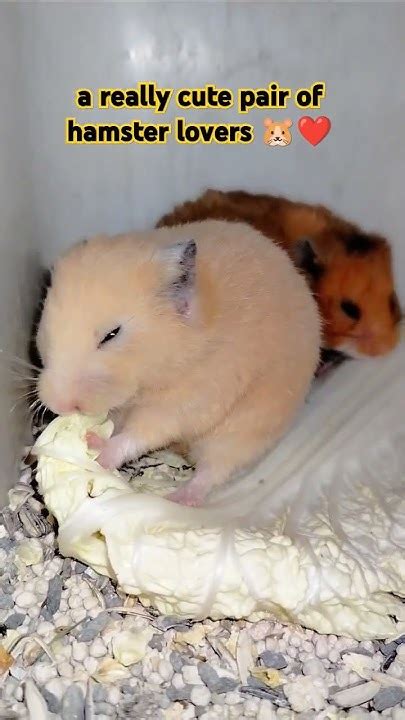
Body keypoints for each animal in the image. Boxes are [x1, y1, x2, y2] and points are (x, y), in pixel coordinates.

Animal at [37, 220, 320, 506]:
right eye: (46, 324)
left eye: (112, 334)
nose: (58, 406)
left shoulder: (189, 402)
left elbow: (141, 433)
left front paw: (95, 447)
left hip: (246, 428)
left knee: (213, 469)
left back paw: (178, 499)